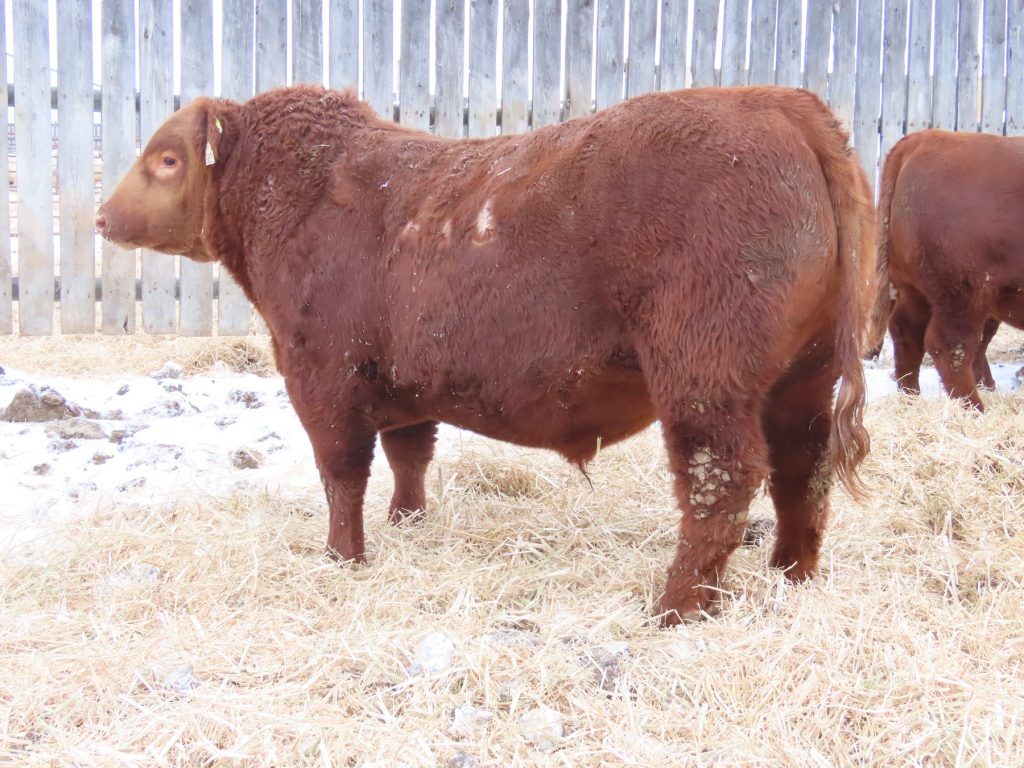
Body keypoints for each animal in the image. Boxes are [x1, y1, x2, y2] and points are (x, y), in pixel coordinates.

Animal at [95, 85, 874, 624]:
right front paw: (407, 523)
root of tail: (777, 103)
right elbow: (410, 454)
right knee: (803, 470)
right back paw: (791, 575)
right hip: (803, 376)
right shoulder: (402, 383)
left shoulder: (321, 377)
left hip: (705, 377)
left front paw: (343, 557)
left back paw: (677, 607)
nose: (101, 216)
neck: (301, 197)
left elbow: (341, 474)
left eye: (166, 158)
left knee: (721, 483)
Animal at [865, 130, 1024, 410]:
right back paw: (974, 408)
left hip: (913, 289)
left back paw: (911, 398)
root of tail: (922, 139)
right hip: (965, 294)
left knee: (907, 333)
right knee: (950, 346)